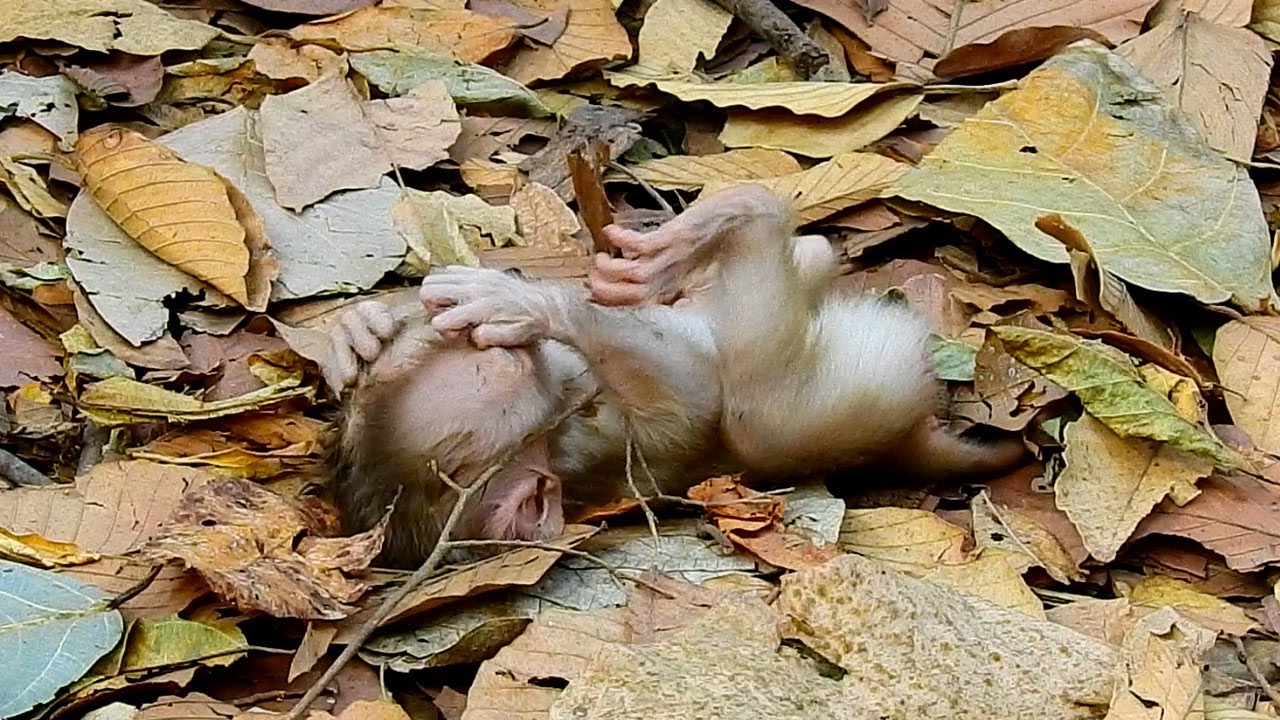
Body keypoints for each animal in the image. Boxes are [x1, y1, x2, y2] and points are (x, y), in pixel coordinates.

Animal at [326, 185, 1025, 567]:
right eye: (507, 368)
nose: (519, 350)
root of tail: (907, 439)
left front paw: (362, 336)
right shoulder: (606, 453)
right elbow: (690, 410)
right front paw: (534, 305)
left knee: (801, 264)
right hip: (818, 403)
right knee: (752, 411)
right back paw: (743, 217)